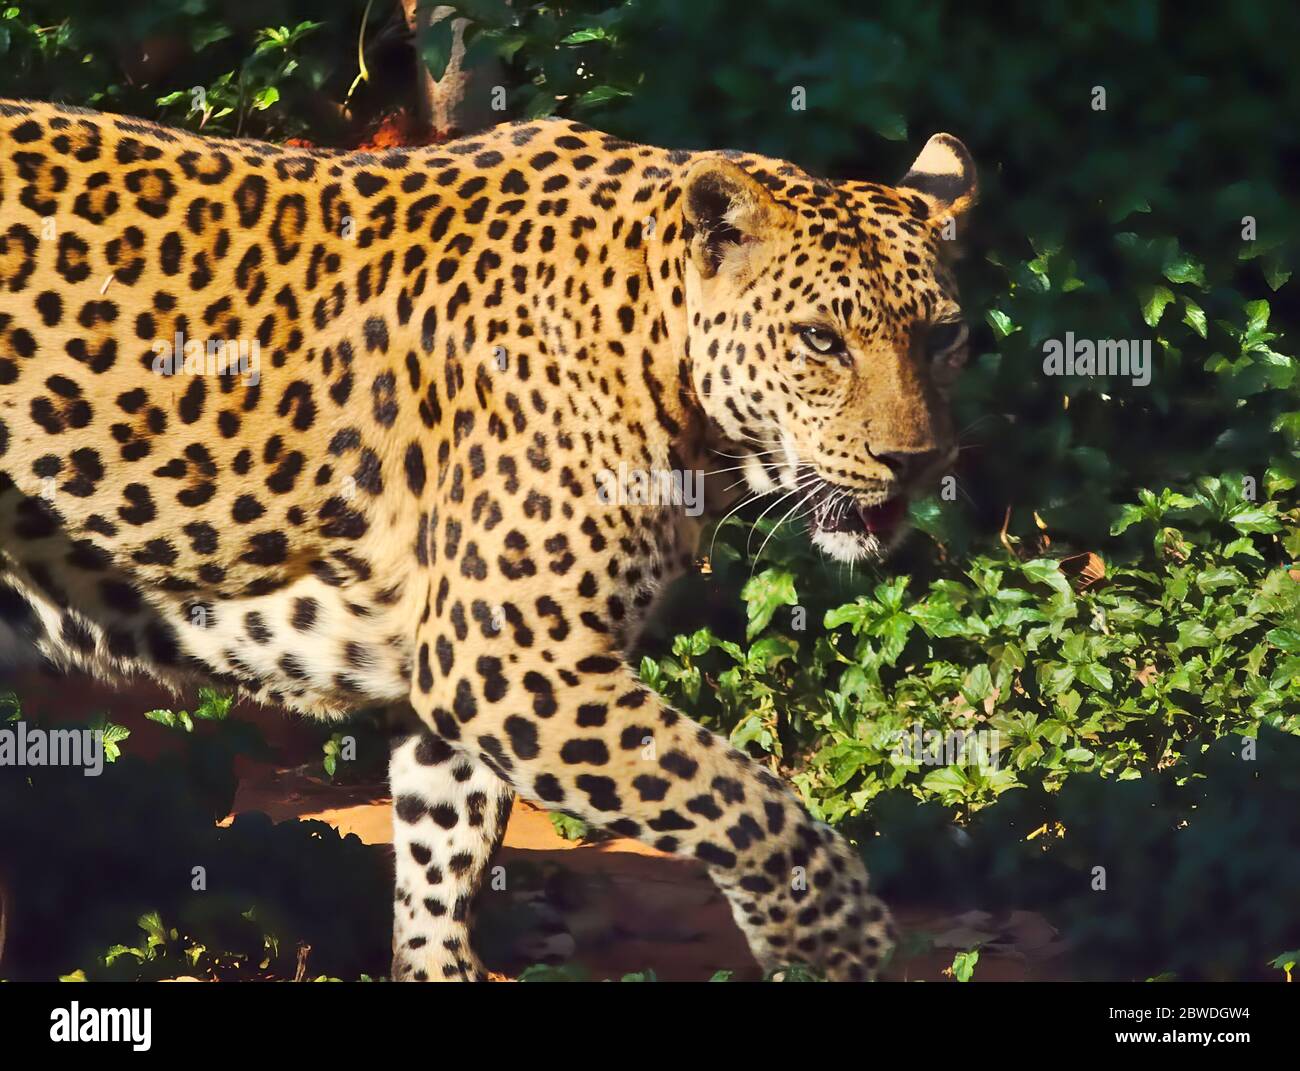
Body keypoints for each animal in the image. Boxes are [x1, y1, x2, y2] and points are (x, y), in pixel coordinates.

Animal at [0, 98, 976, 982]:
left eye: (946, 336)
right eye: (820, 339)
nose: (915, 461)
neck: (653, 340)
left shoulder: (469, 684)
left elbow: (444, 857)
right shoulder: (511, 658)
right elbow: (742, 795)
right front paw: (838, 939)